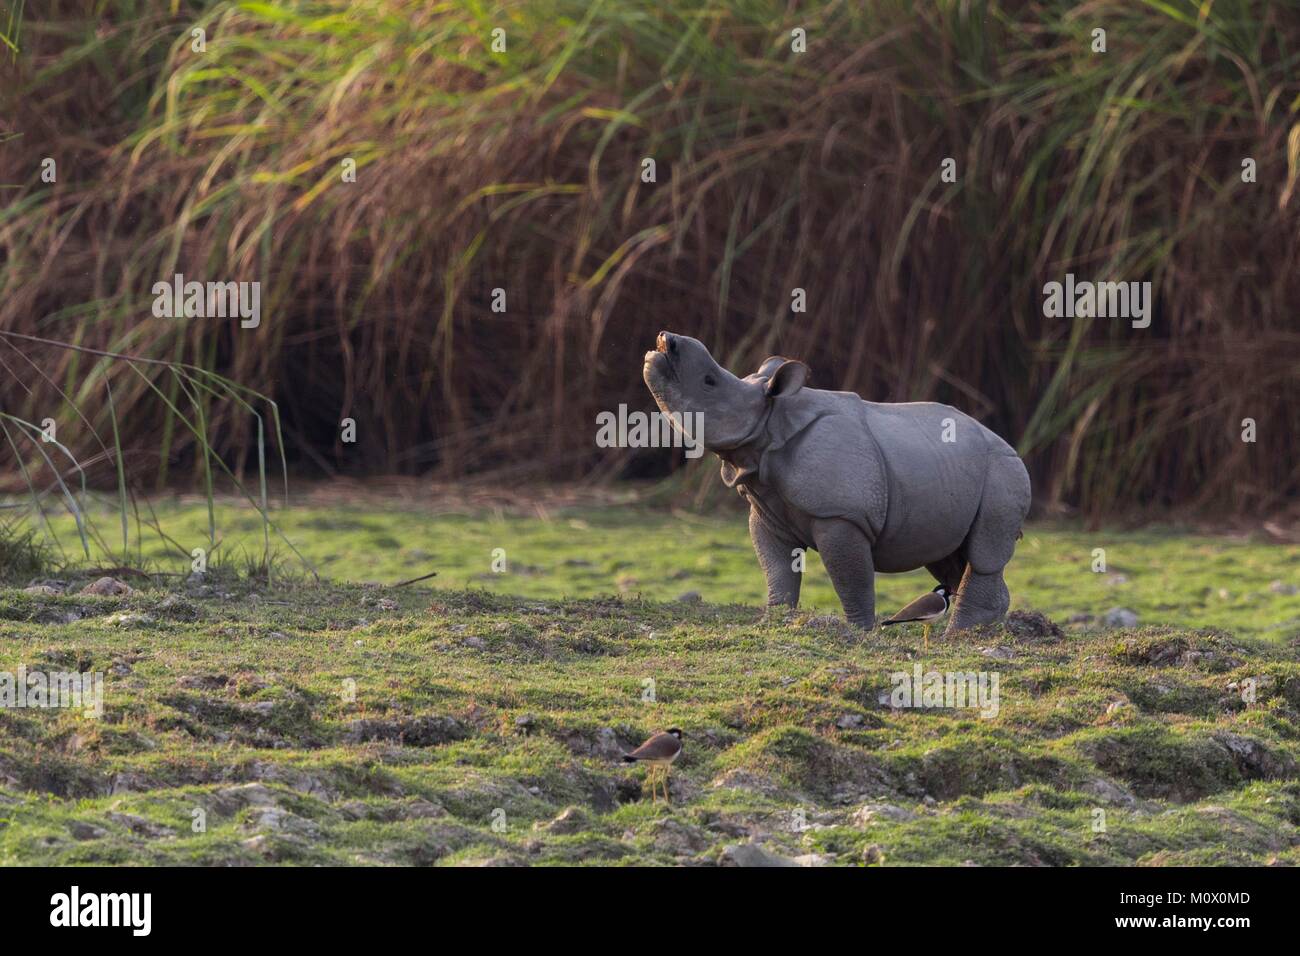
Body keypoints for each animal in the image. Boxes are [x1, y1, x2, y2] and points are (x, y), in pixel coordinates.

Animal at [642, 332, 1031, 632]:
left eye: (709, 381)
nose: (665, 340)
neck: (771, 424)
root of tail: (1010, 447)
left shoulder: (841, 514)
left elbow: (850, 576)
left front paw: (858, 631)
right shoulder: (766, 509)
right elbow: (777, 570)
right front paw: (772, 623)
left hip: (1004, 470)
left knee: (982, 553)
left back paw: (959, 634)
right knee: (948, 555)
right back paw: (984, 629)